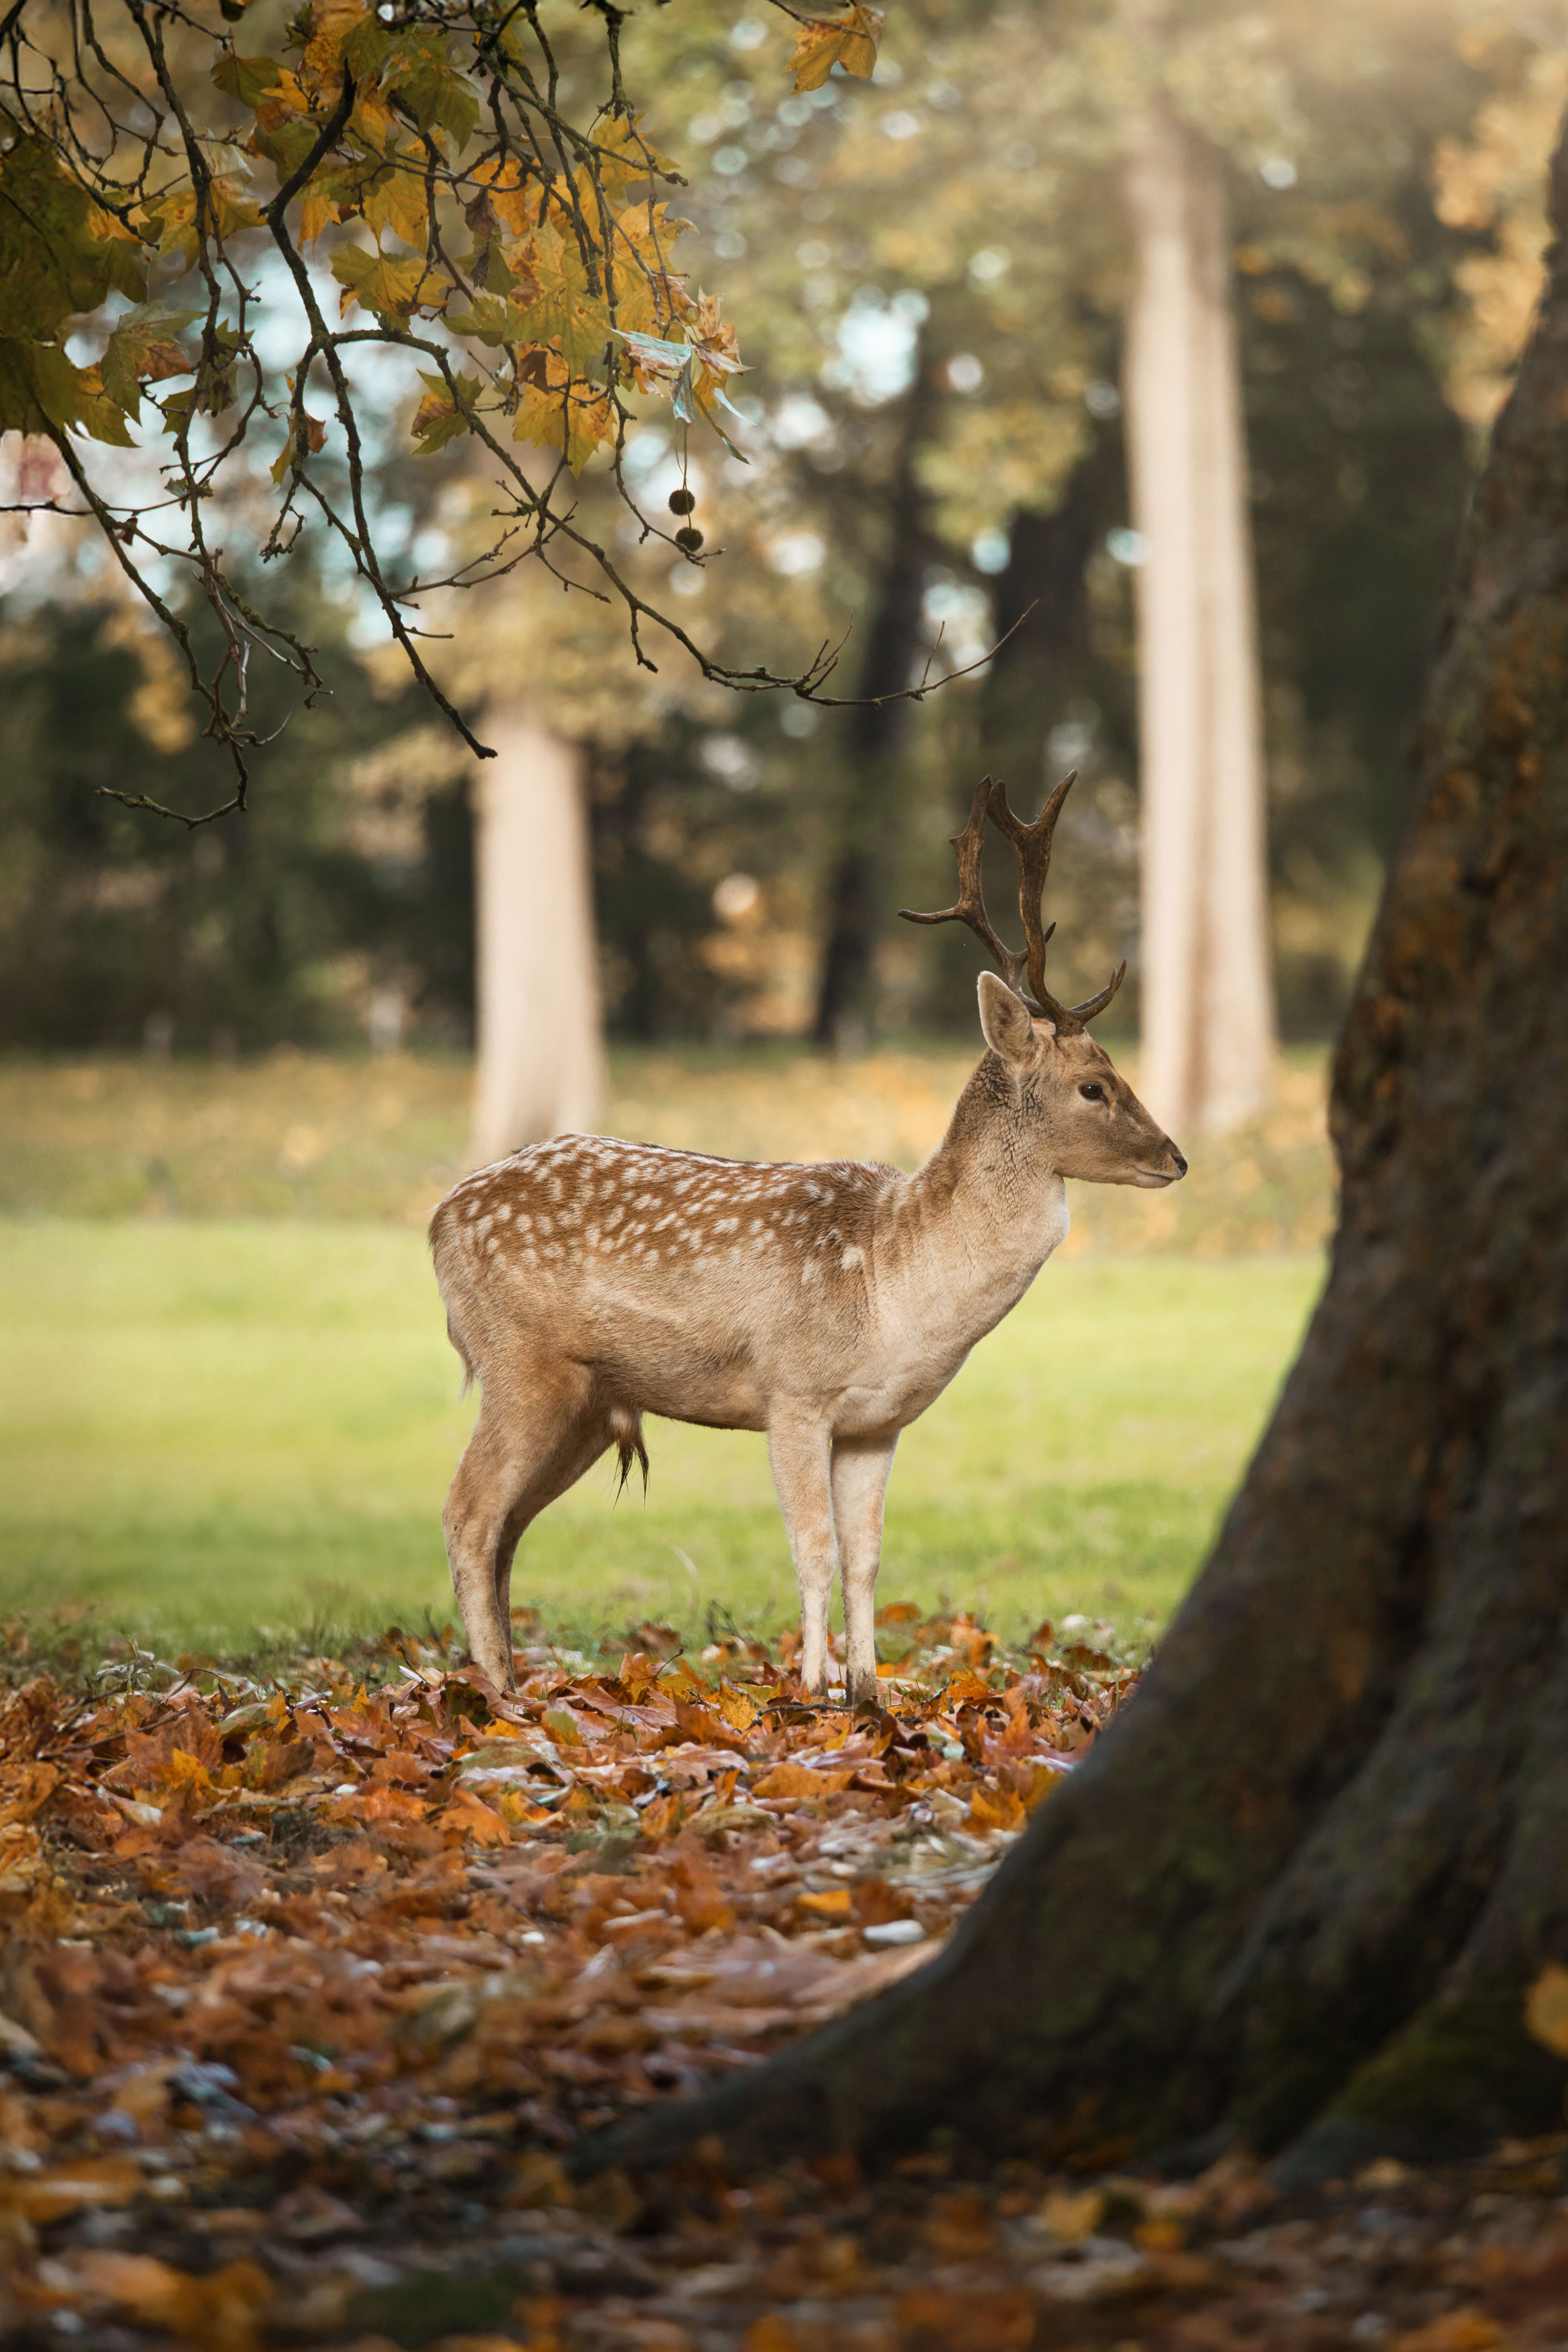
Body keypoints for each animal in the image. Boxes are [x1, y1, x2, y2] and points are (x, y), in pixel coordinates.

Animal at [430, 773, 1186, 1705]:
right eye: (1092, 1085)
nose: (1176, 1156)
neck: (897, 1283)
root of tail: (437, 1217)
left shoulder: (876, 1423)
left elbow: (866, 1558)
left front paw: (868, 1689)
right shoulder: (792, 1390)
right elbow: (814, 1551)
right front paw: (807, 1686)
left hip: (591, 1401)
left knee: (507, 1526)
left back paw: (511, 1681)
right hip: (517, 1360)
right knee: (468, 1512)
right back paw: (497, 1697)